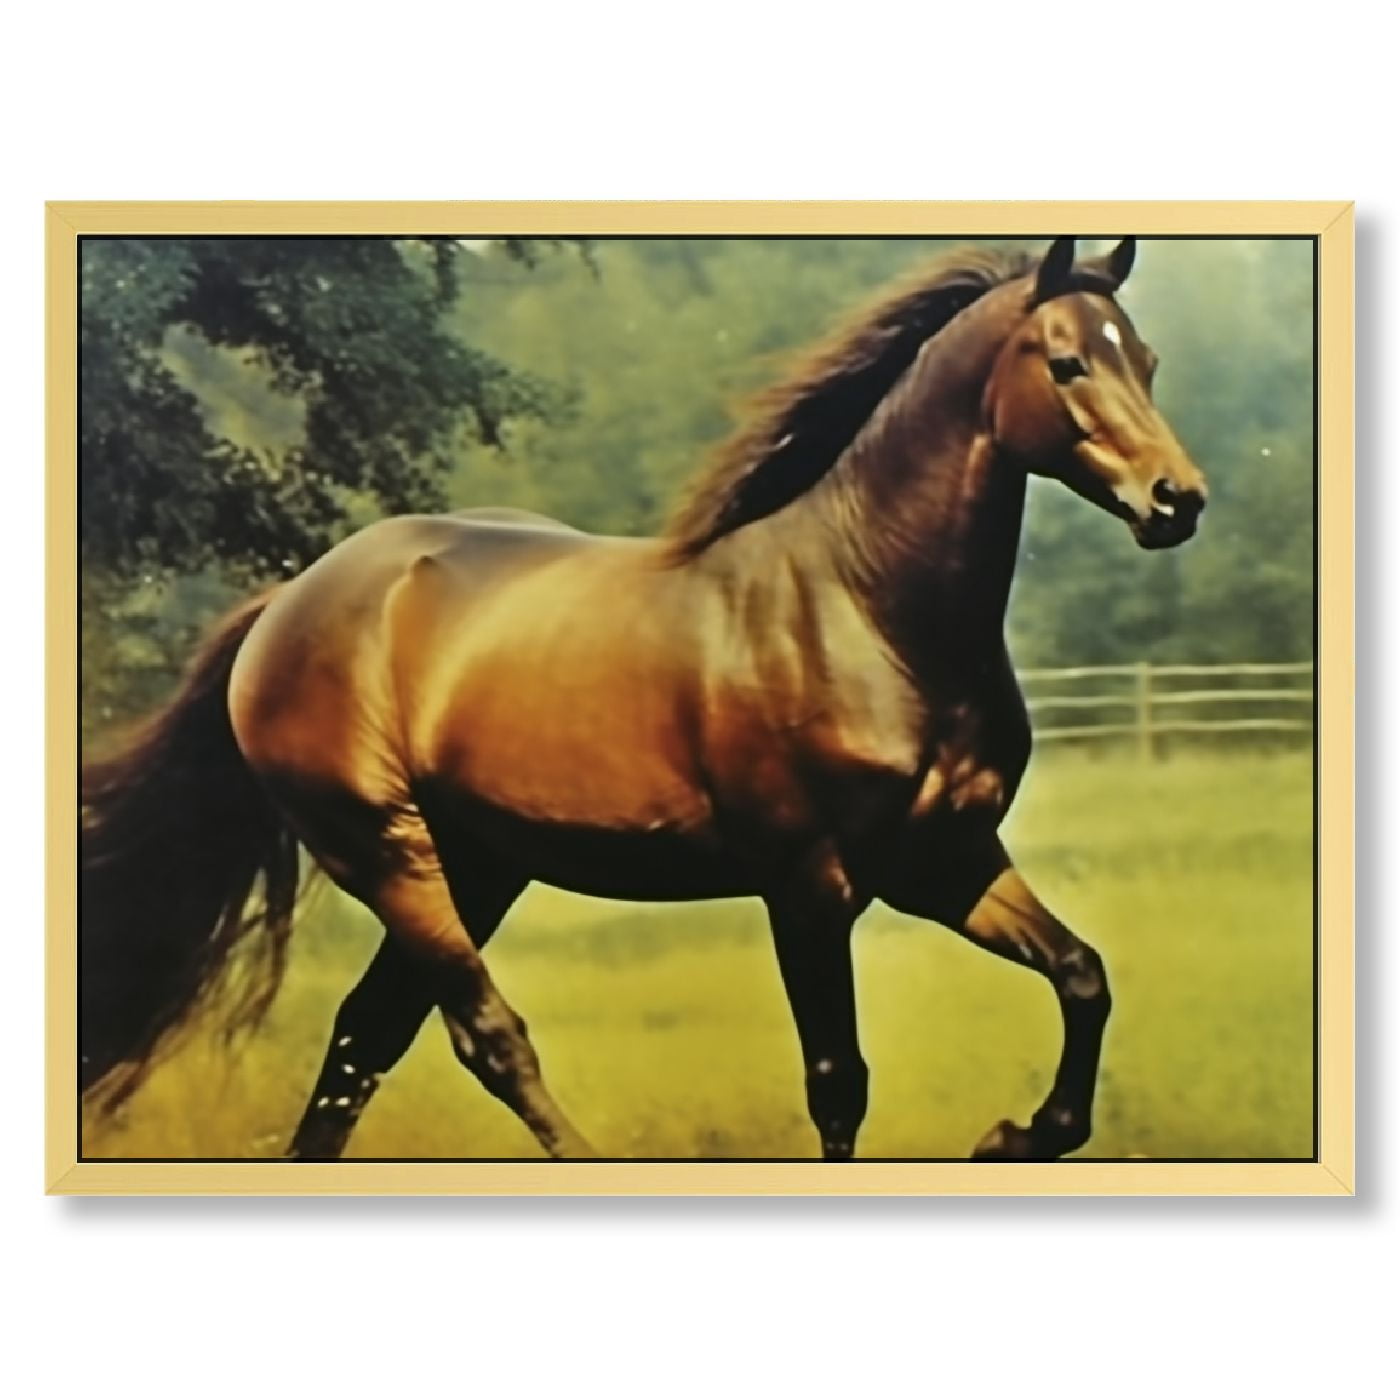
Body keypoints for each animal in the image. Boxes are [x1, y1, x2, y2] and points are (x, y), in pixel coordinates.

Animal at [80, 236, 1207, 1162]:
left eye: (1145, 361)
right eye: (1066, 361)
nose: (1176, 500)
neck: (863, 609)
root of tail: (287, 603)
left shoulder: (945, 861)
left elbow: (1082, 975)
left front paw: (1014, 1134)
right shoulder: (809, 885)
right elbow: (837, 1084)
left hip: (478, 864)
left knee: (366, 1034)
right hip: (387, 854)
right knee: (483, 1035)